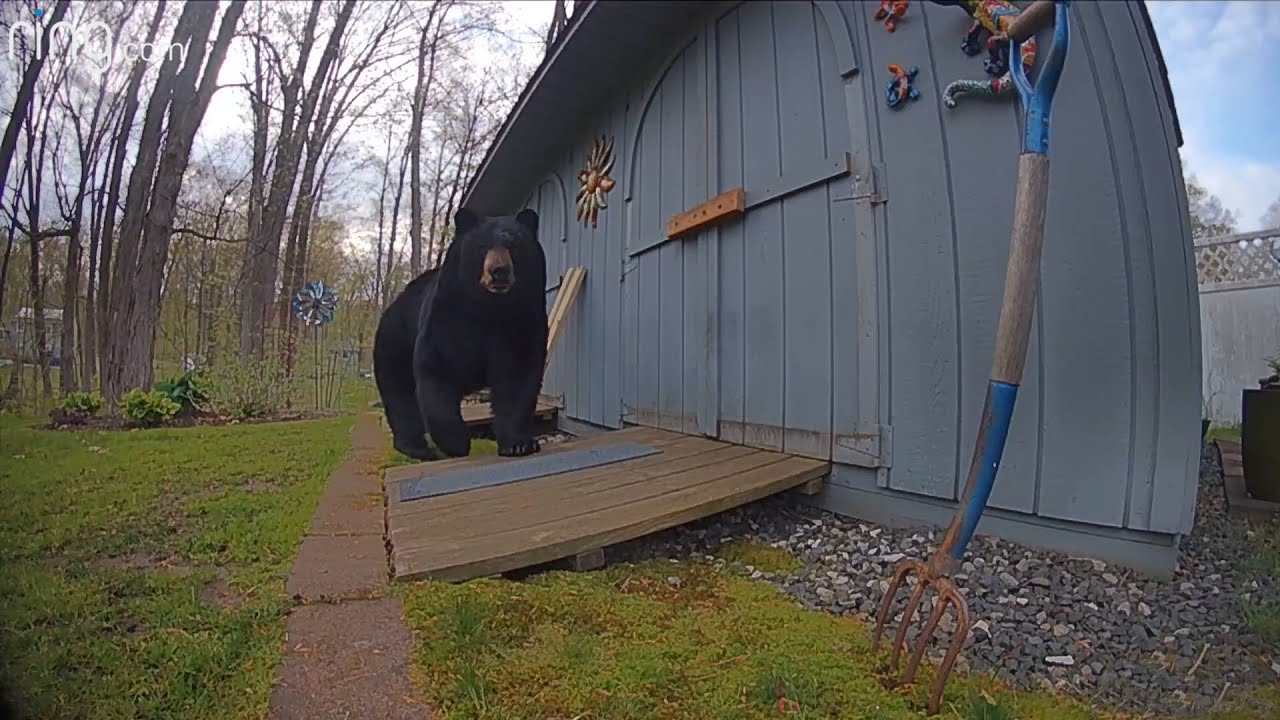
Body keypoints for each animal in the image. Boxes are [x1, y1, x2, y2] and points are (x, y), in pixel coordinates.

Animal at [373, 207, 548, 461]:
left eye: (514, 245)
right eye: (482, 245)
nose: (499, 271)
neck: (491, 308)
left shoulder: (522, 321)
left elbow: (518, 376)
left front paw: (518, 443)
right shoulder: (449, 321)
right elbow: (438, 370)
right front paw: (457, 443)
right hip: (394, 343)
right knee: (399, 393)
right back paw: (417, 448)